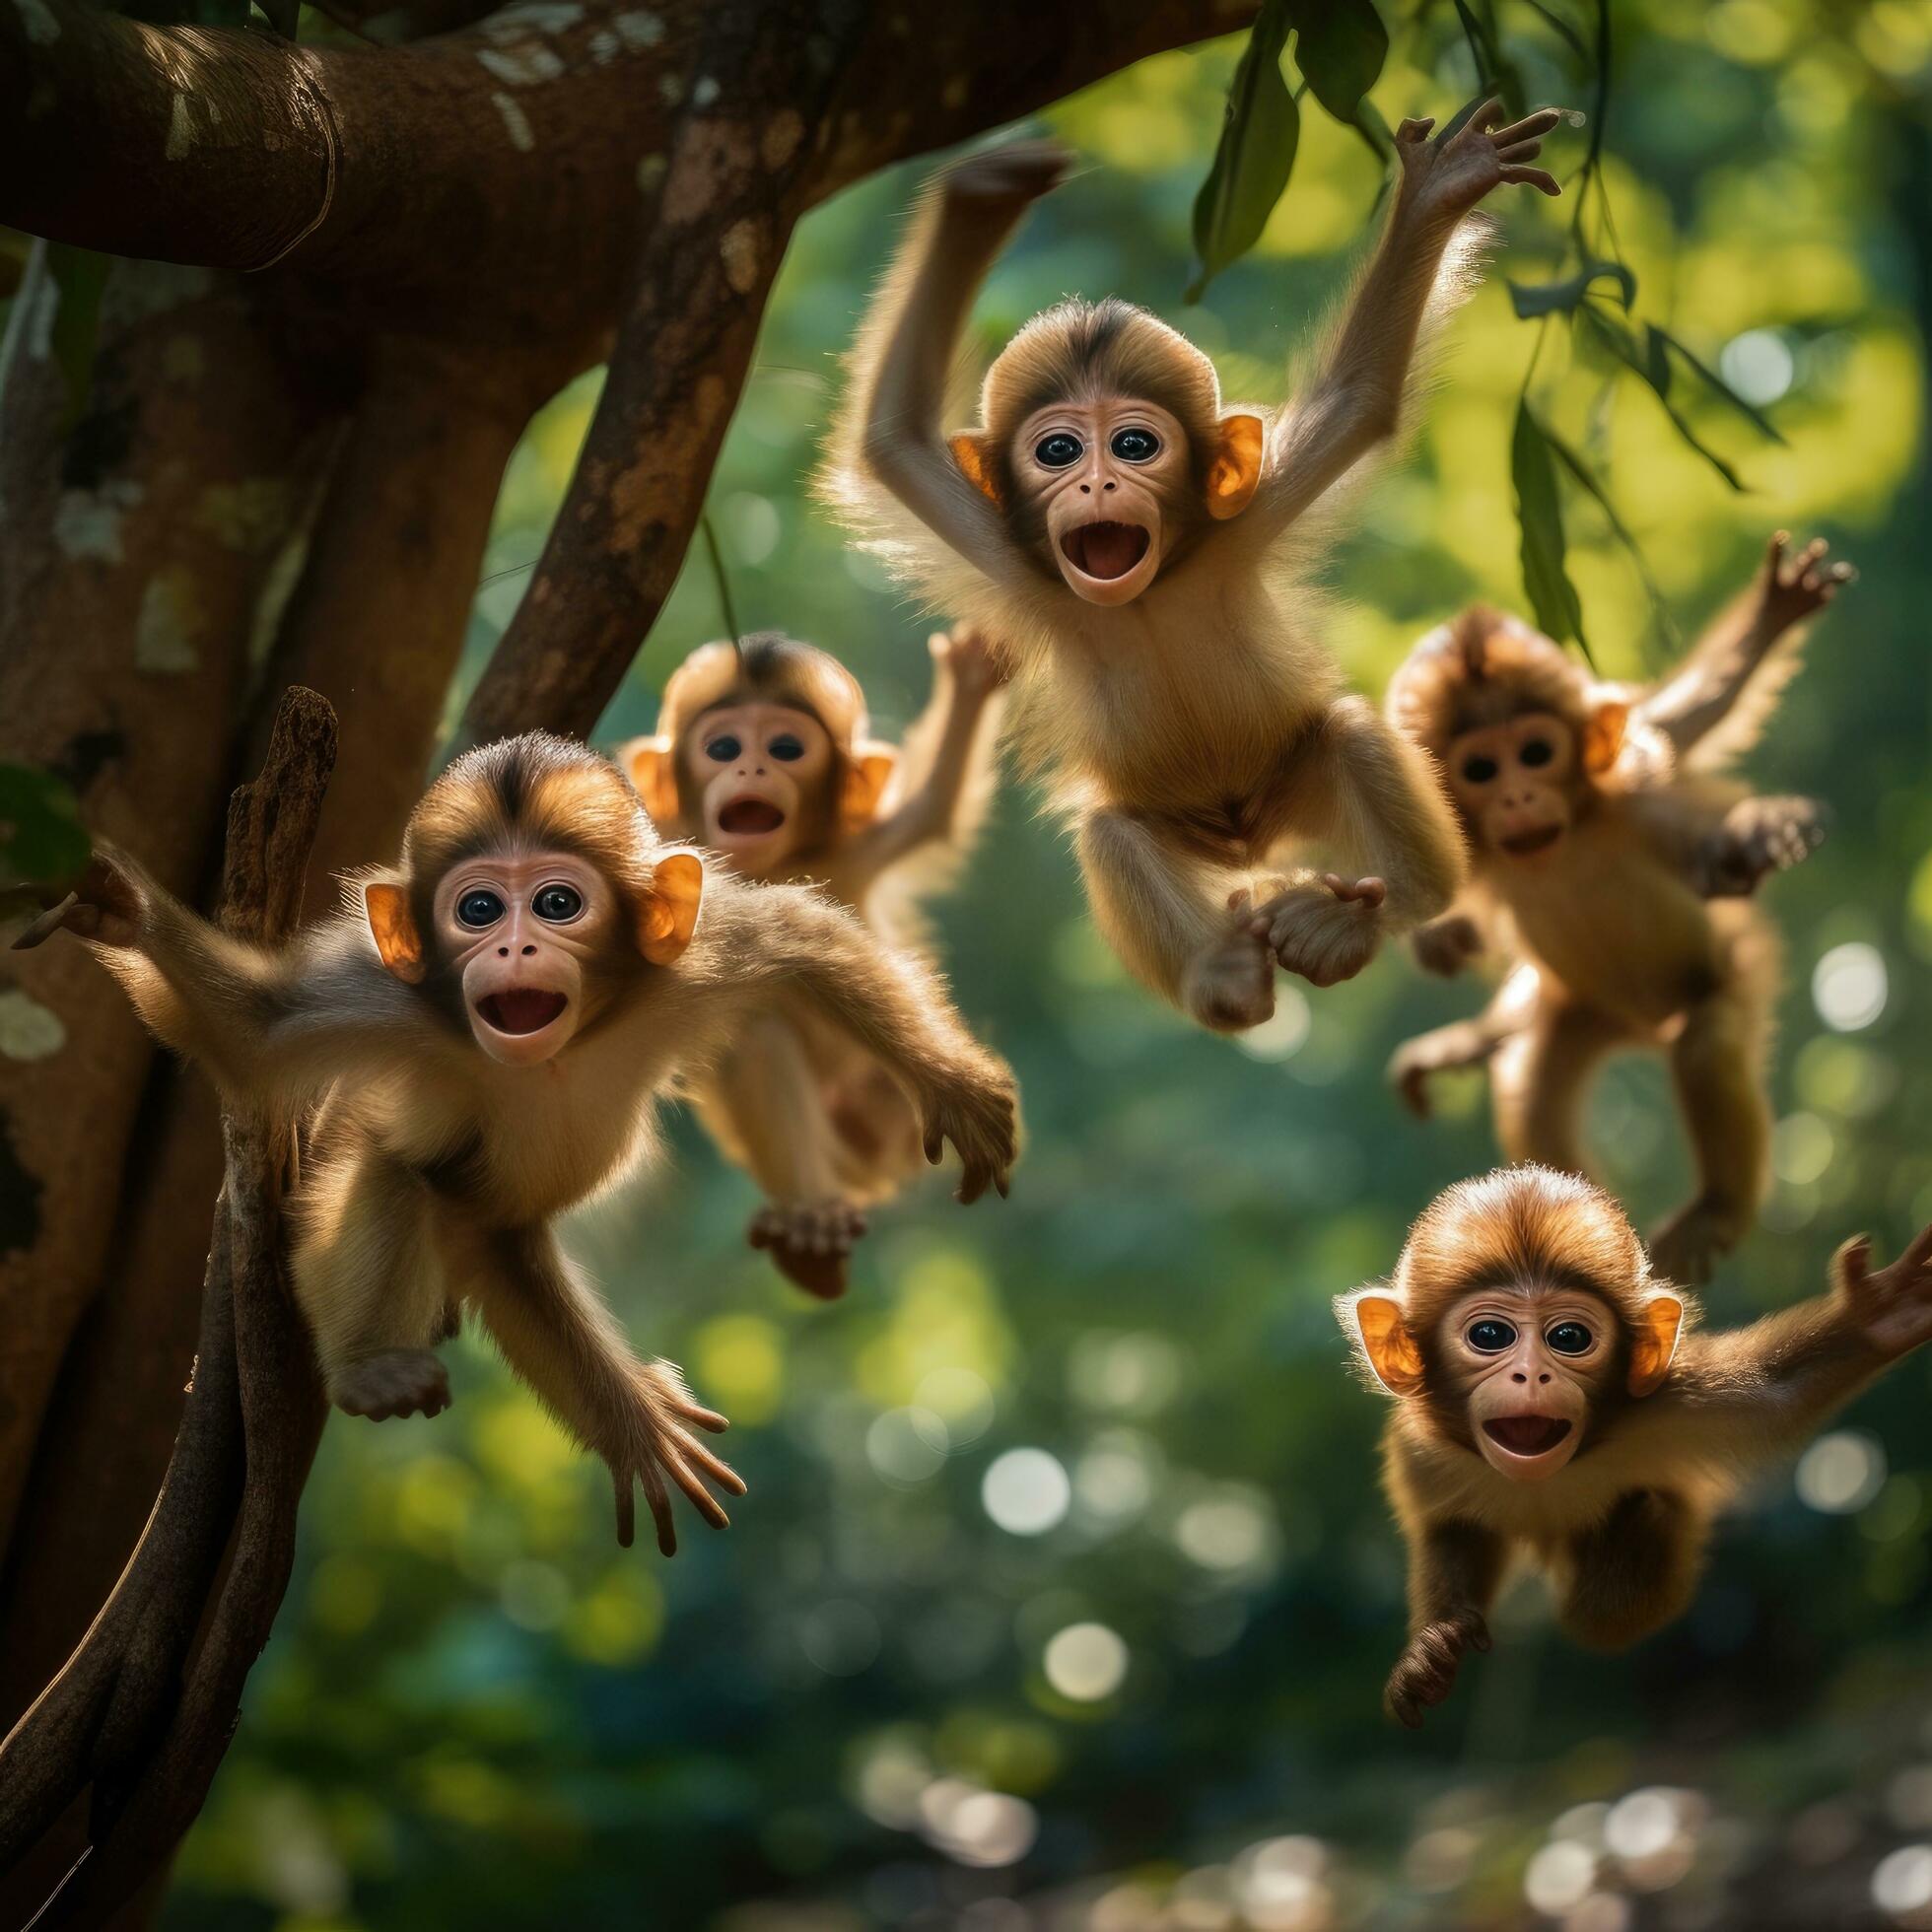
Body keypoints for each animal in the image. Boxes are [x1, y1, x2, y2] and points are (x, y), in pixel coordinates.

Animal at [18, 732, 1019, 1555]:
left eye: (557, 902)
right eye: (476, 912)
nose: (513, 951)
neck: (556, 1055)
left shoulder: (690, 963)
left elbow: (804, 939)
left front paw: (951, 1081)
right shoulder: (391, 1004)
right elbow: (259, 1037)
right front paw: (114, 903)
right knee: (403, 1176)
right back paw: (375, 1373)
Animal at [618, 625, 1006, 1299]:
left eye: (785, 747)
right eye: (722, 746)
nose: (751, 766)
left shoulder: (858, 848)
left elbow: (933, 810)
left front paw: (971, 680)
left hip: (886, 1126)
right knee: (754, 1037)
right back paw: (812, 1227)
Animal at [821, 105, 1569, 1036]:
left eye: (1135, 444)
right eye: (1058, 451)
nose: (1097, 483)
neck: (1148, 592)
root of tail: (1249, 837)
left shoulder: (1240, 525)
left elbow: (1363, 397)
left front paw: (1441, 188)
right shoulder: (1007, 553)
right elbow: (891, 442)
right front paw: (982, 197)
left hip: (1300, 789)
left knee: (1351, 736)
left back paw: (1363, 919)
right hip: (1182, 828)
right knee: (1110, 832)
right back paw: (1224, 976)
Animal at [1337, 1163, 1932, 1728]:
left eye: (1569, 1338)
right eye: (1490, 1336)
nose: (1532, 1375)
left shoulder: (1671, 1400)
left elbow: (1779, 1393)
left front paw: (1878, 1313)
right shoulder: (1423, 1452)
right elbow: (1449, 1529)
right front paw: (1430, 1654)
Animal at [1385, 533, 1854, 1283]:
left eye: (1536, 753)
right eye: (1482, 769)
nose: (1517, 797)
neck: (1564, 846)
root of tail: (1644, 1028)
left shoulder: (1642, 803)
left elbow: (1689, 738)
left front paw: (1773, 615)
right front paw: (1439, 942)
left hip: (1727, 970)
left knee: (1705, 1047)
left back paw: (1714, 1211)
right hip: (1584, 1011)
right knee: (1531, 1089)